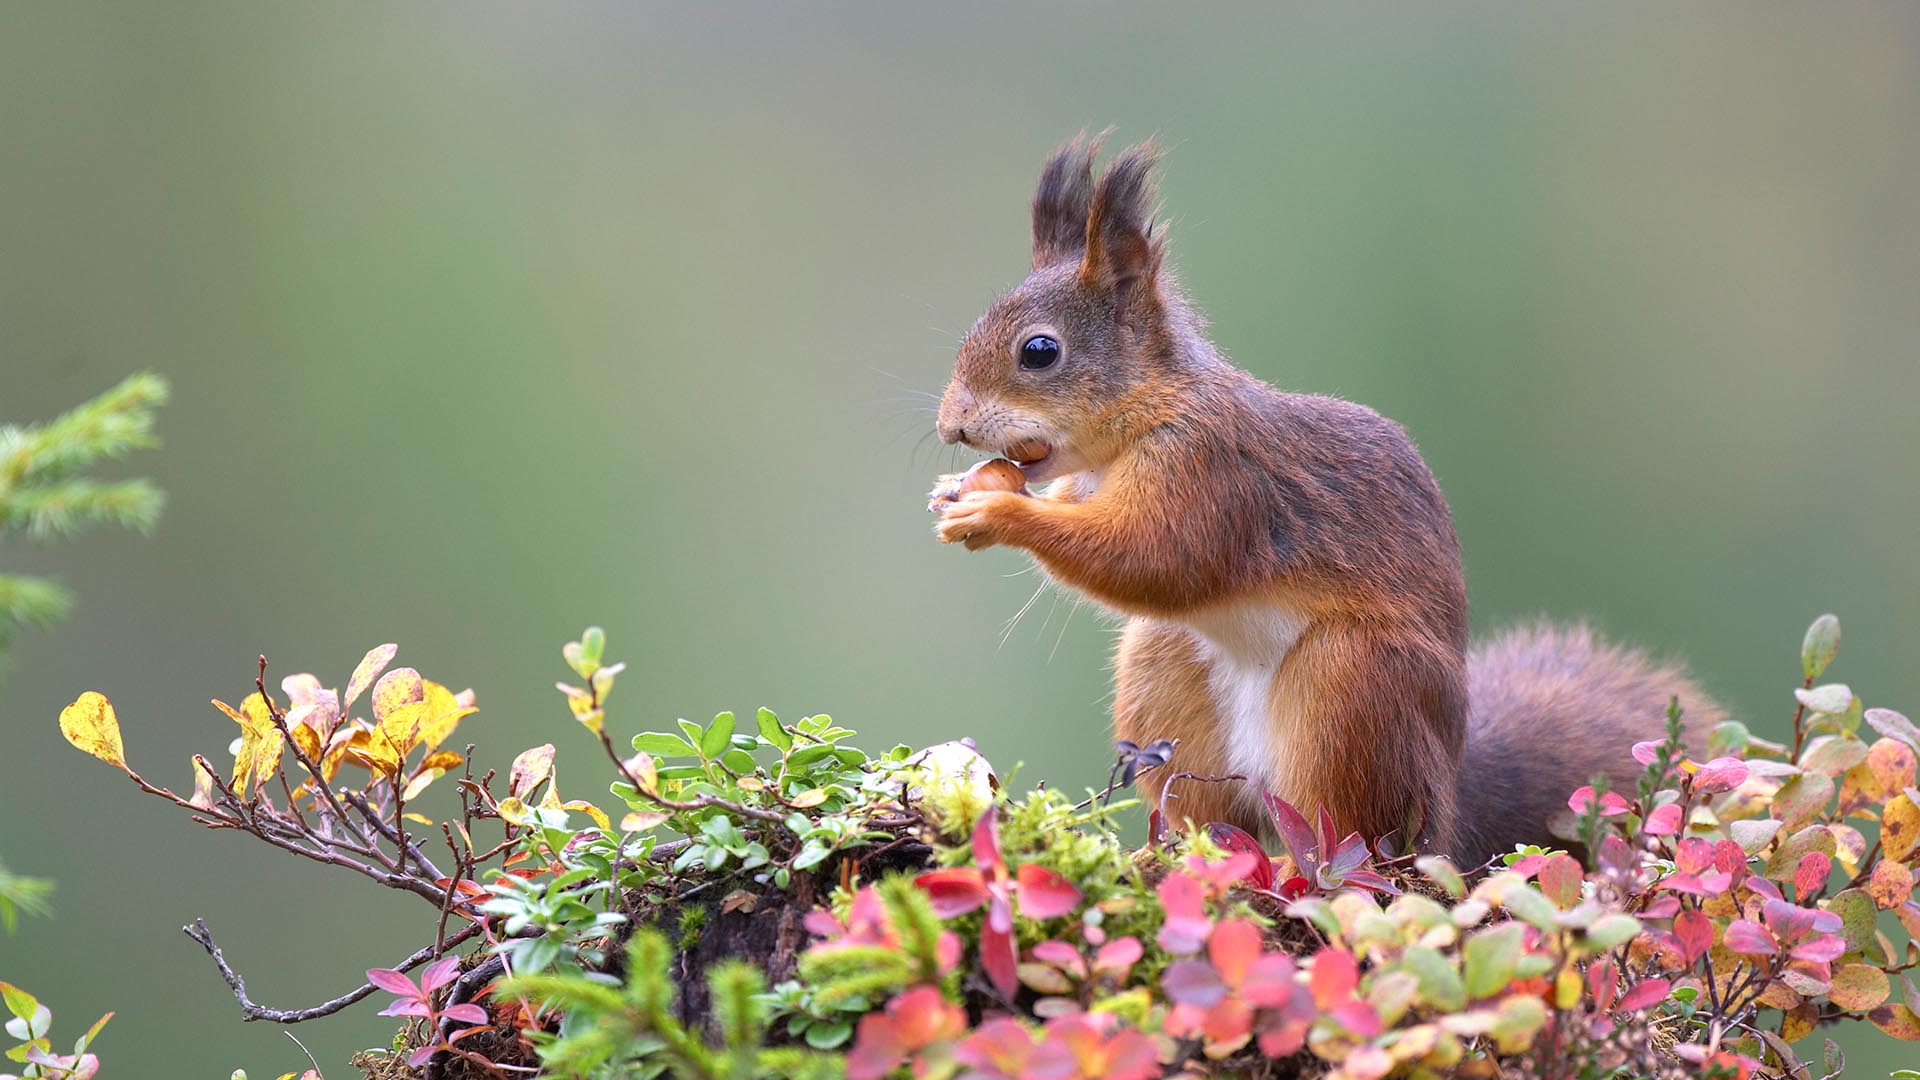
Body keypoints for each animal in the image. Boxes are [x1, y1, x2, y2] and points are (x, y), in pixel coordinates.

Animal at [927, 134, 1723, 867]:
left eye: (1040, 351)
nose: (950, 427)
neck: (1138, 421)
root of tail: (1448, 820)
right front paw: (955, 492)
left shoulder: (1213, 470)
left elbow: (1157, 557)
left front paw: (999, 513)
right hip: (1167, 674)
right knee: (1215, 813)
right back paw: (1186, 853)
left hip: (1350, 690)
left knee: (1356, 839)